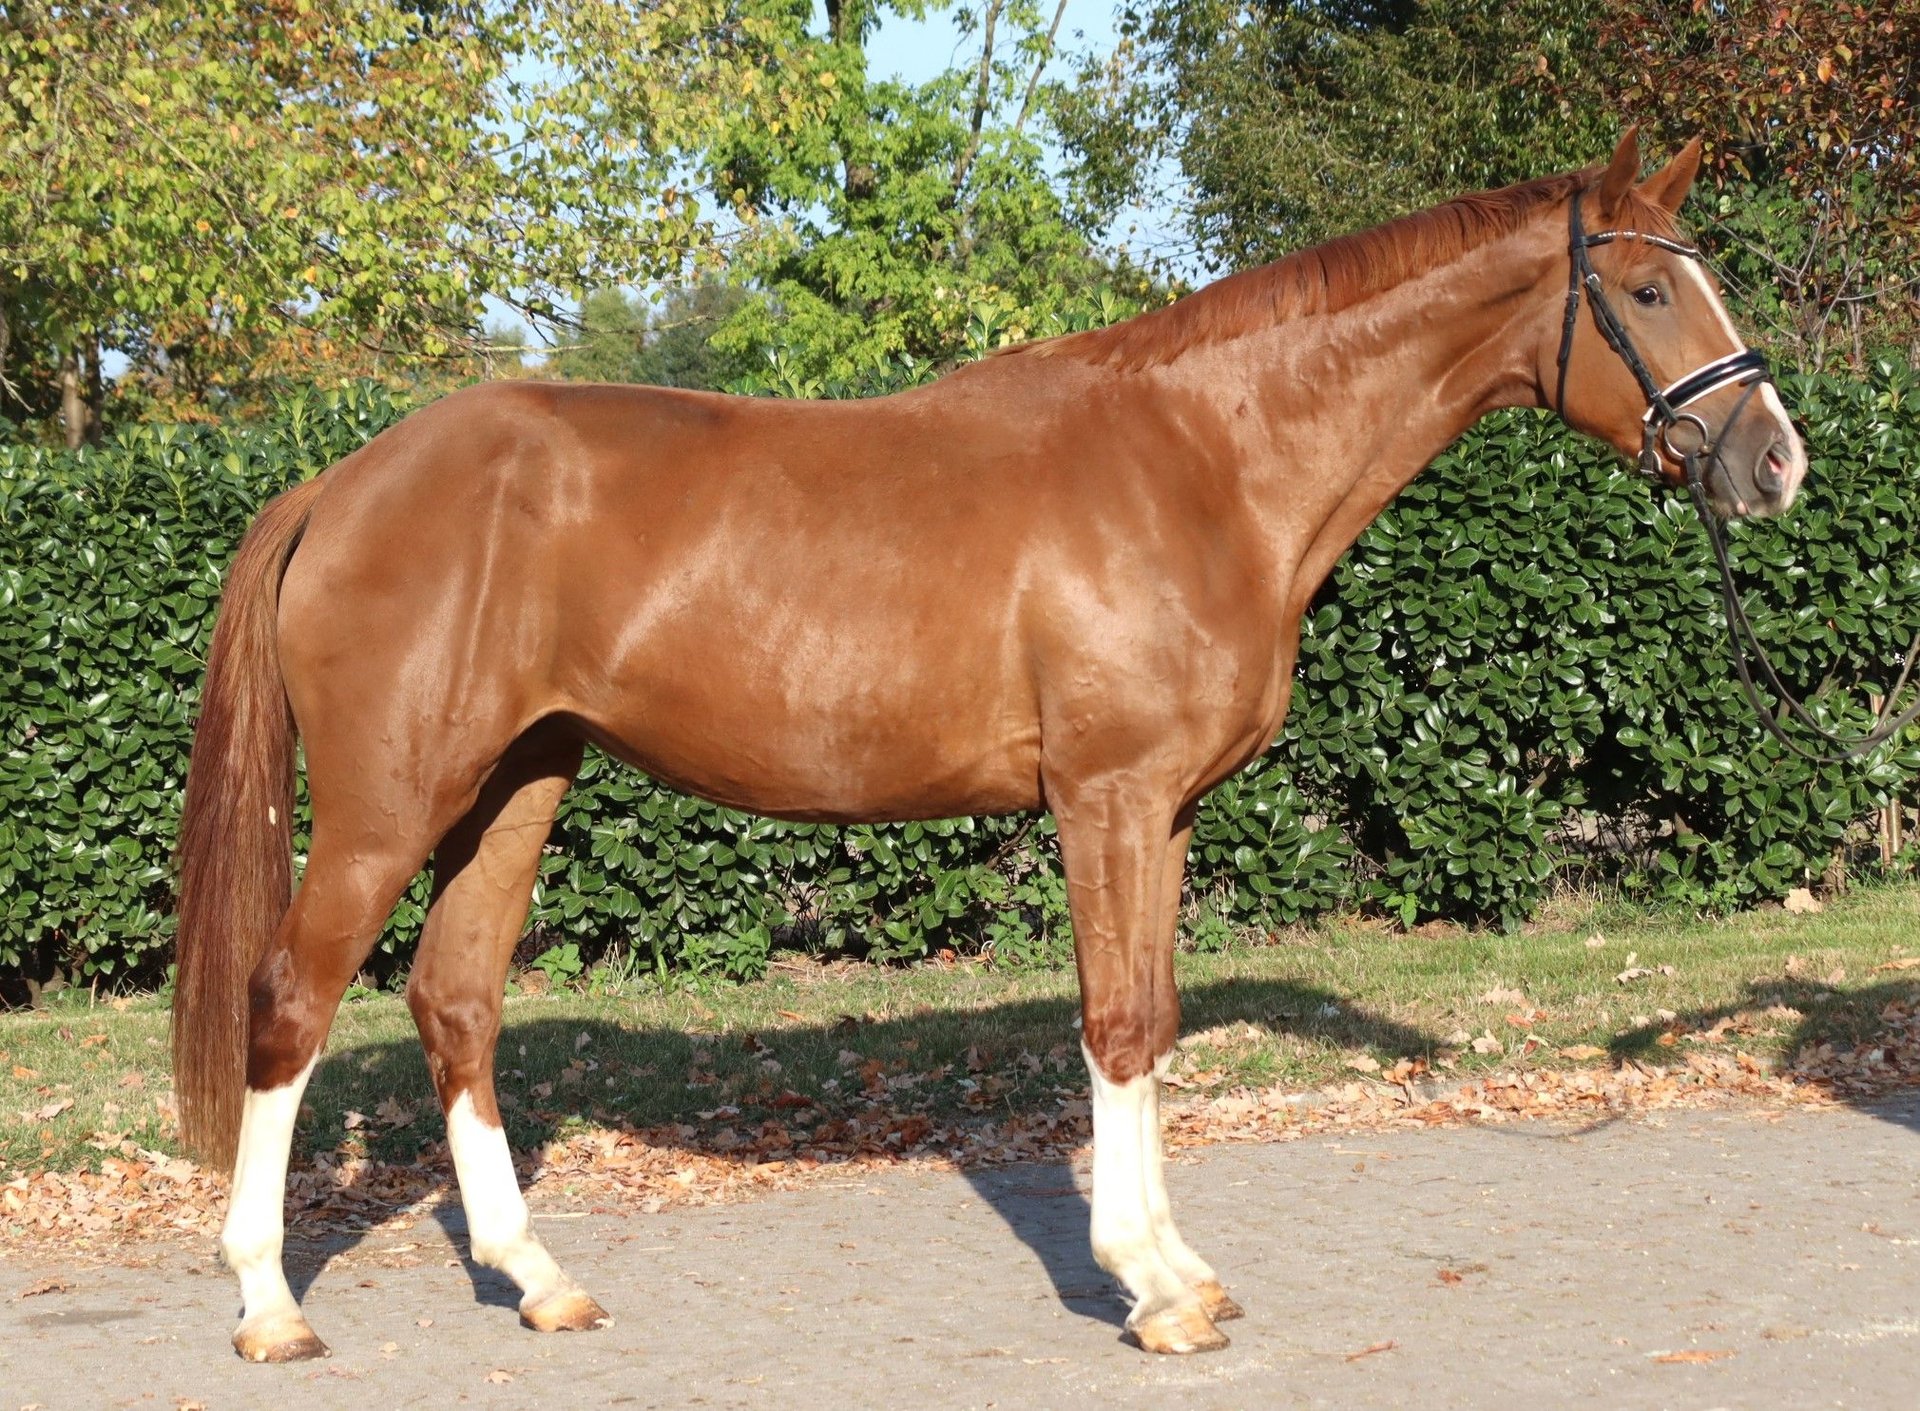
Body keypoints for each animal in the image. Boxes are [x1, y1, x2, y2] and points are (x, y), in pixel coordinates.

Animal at [171, 129, 1806, 1362]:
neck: (1203, 463)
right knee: (290, 1001)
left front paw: (1178, 1268)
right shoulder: (1105, 796)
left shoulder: (1165, 811)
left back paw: (538, 1278)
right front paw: (1146, 1288)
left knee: (455, 1002)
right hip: (389, 804)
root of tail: (343, 481)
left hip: (519, 782)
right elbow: (1118, 1023)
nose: (1775, 460)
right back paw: (266, 1303)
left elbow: (1153, 1013)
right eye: (1648, 287)